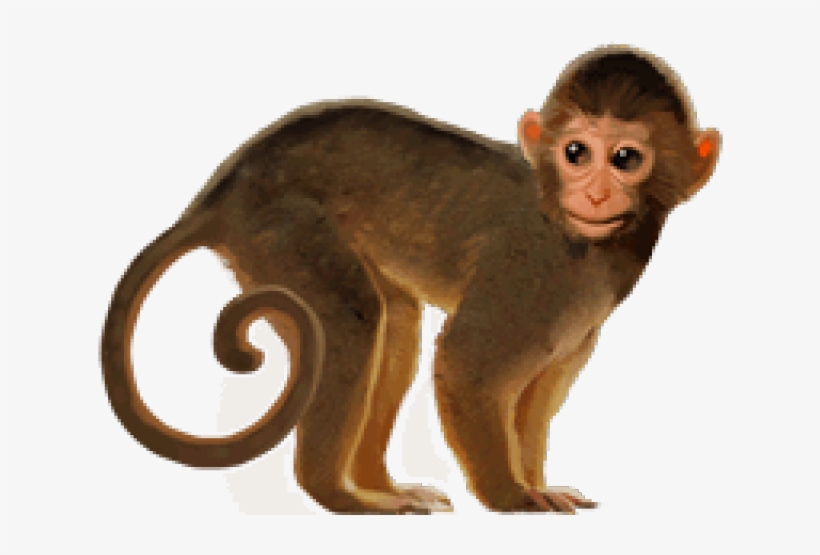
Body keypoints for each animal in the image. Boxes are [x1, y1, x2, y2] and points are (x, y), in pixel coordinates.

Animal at [101, 45, 721, 514]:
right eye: (576, 152)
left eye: (625, 159)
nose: (594, 194)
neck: (578, 236)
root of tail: (220, 193)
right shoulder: (529, 267)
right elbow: (468, 363)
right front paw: (512, 497)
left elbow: (541, 385)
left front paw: (536, 483)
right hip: (279, 227)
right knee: (353, 316)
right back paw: (339, 497)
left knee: (394, 321)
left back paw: (372, 484)